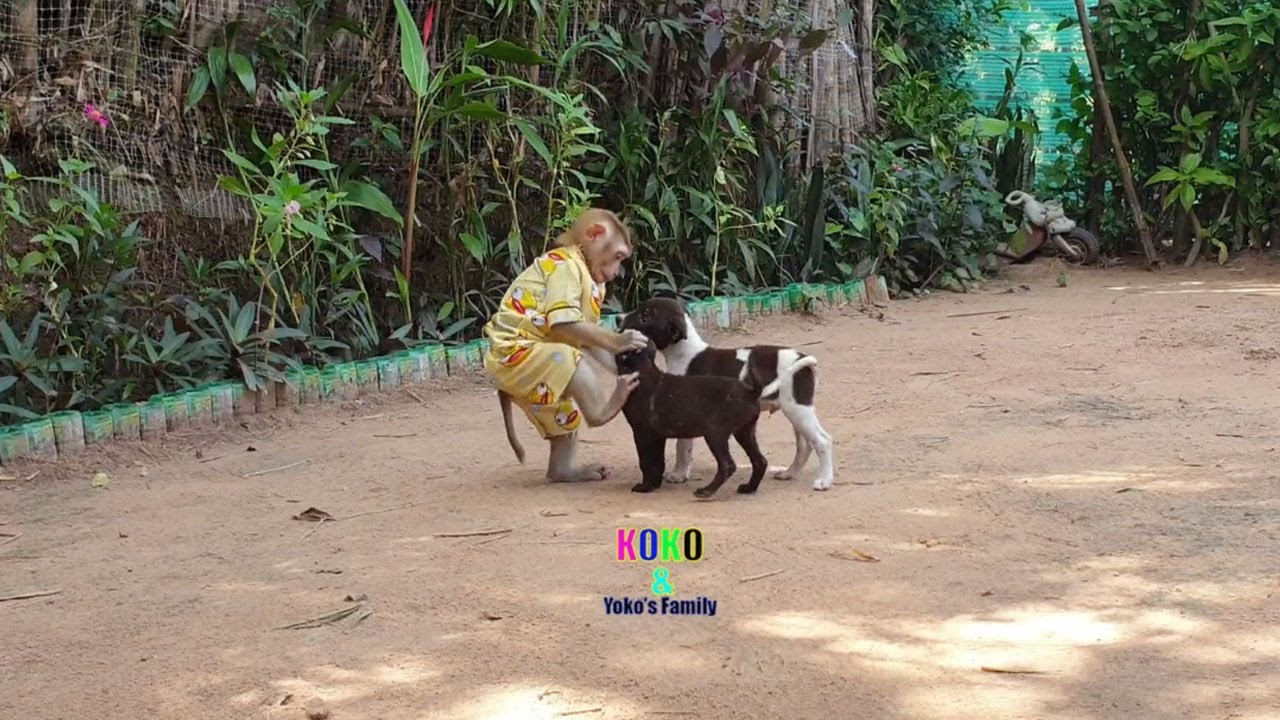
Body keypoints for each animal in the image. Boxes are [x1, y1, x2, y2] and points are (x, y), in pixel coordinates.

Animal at [483, 207, 650, 483]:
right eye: (618, 256)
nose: (616, 273)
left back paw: (562, 472)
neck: (578, 251)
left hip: (530, 394)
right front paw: (624, 340)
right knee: (564, 358)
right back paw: (602, 413)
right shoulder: (569, 271)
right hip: (522, 366)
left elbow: (586, 337)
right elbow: (567, 325)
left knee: (557, 417)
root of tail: (502, 386)